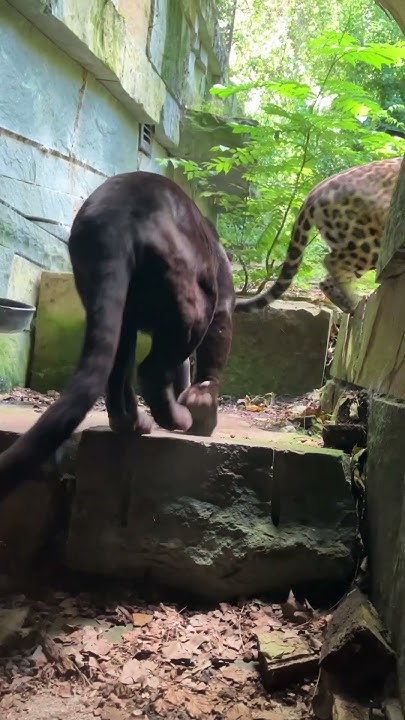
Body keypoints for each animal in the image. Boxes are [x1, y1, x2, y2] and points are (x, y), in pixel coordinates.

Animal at [0, 172, 234, 502]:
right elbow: (209, 365)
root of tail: (116, 214)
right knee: (150, 370)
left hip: (115, 310)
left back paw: (132, 423)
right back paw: (178, 419)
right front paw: (204, 415)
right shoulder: (222, 306)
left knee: (118, 373)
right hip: (195, 306)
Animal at [235, 156, 403, 315]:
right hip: (371, 242)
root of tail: (314, 192)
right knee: (332, 263)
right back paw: (355, 302)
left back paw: (349, 306)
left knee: (327, 280)